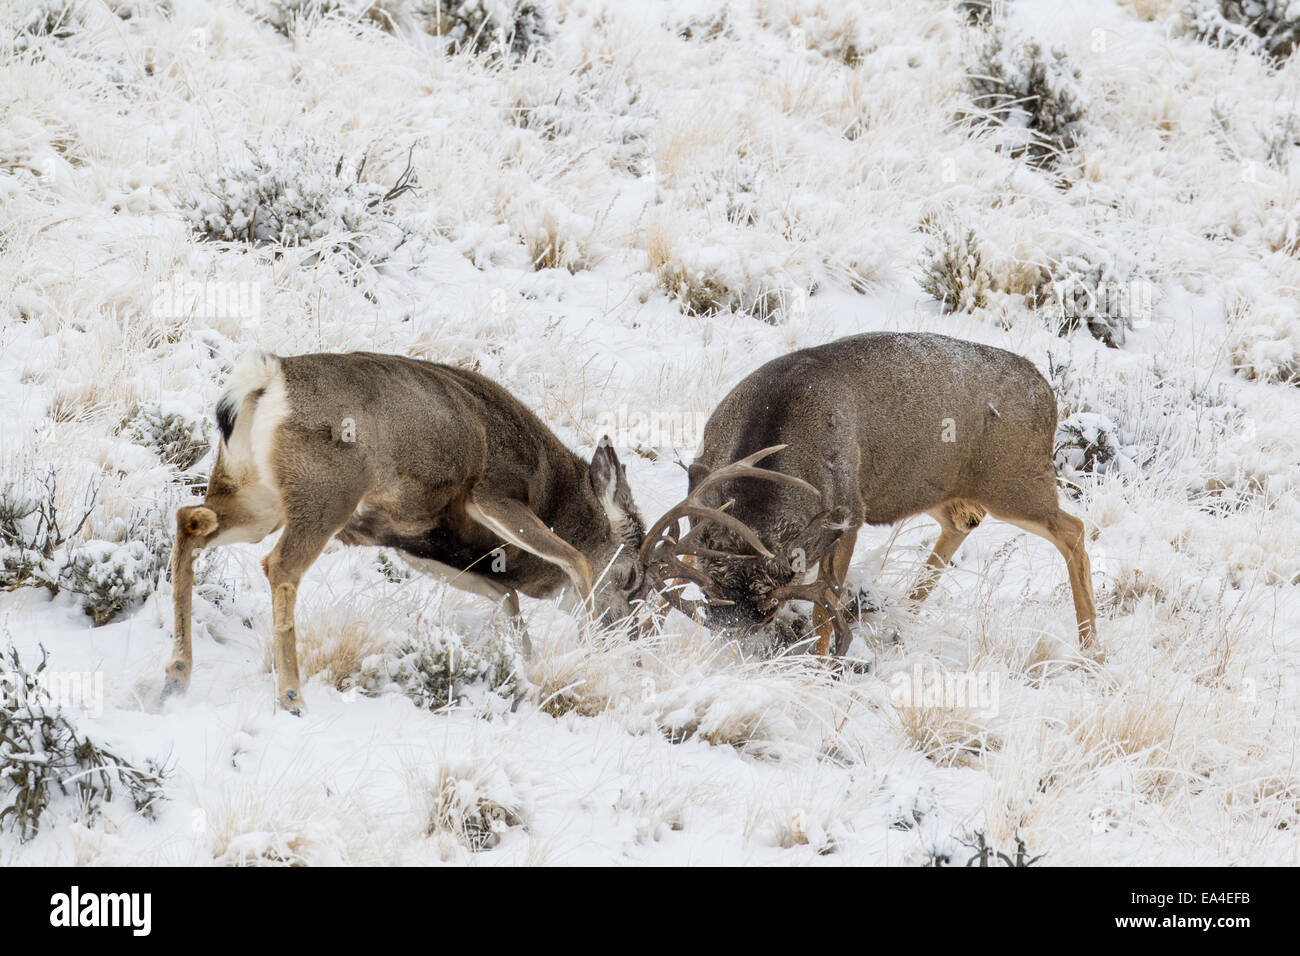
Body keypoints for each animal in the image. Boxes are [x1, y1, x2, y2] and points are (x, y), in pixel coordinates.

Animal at [167, 350, 648, 713]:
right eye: (631, 575)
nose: (625, 637)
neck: (556, 492)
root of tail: (268, 377)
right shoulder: (493, 492)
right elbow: (576, 560)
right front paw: (586, 647)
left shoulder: (414, 545)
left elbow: (507, 596)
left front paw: (528, 662)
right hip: (325, 494)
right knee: (280, 565)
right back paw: (291, 697)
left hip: (254, 498)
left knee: (191, 521)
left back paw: (176, 676)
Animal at [638, 332, 1098, 659]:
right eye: (711, 609)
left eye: (766, 616)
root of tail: (1047, 392)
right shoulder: (700, 499)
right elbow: (674, 571)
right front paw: (640, 636)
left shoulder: (848, 513)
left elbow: (825, 612)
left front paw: (820, 671)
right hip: (936, 488)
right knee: (961, 522)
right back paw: (903, 615)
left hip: (1016, 481)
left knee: (1073, 530)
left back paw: (1091, 647)